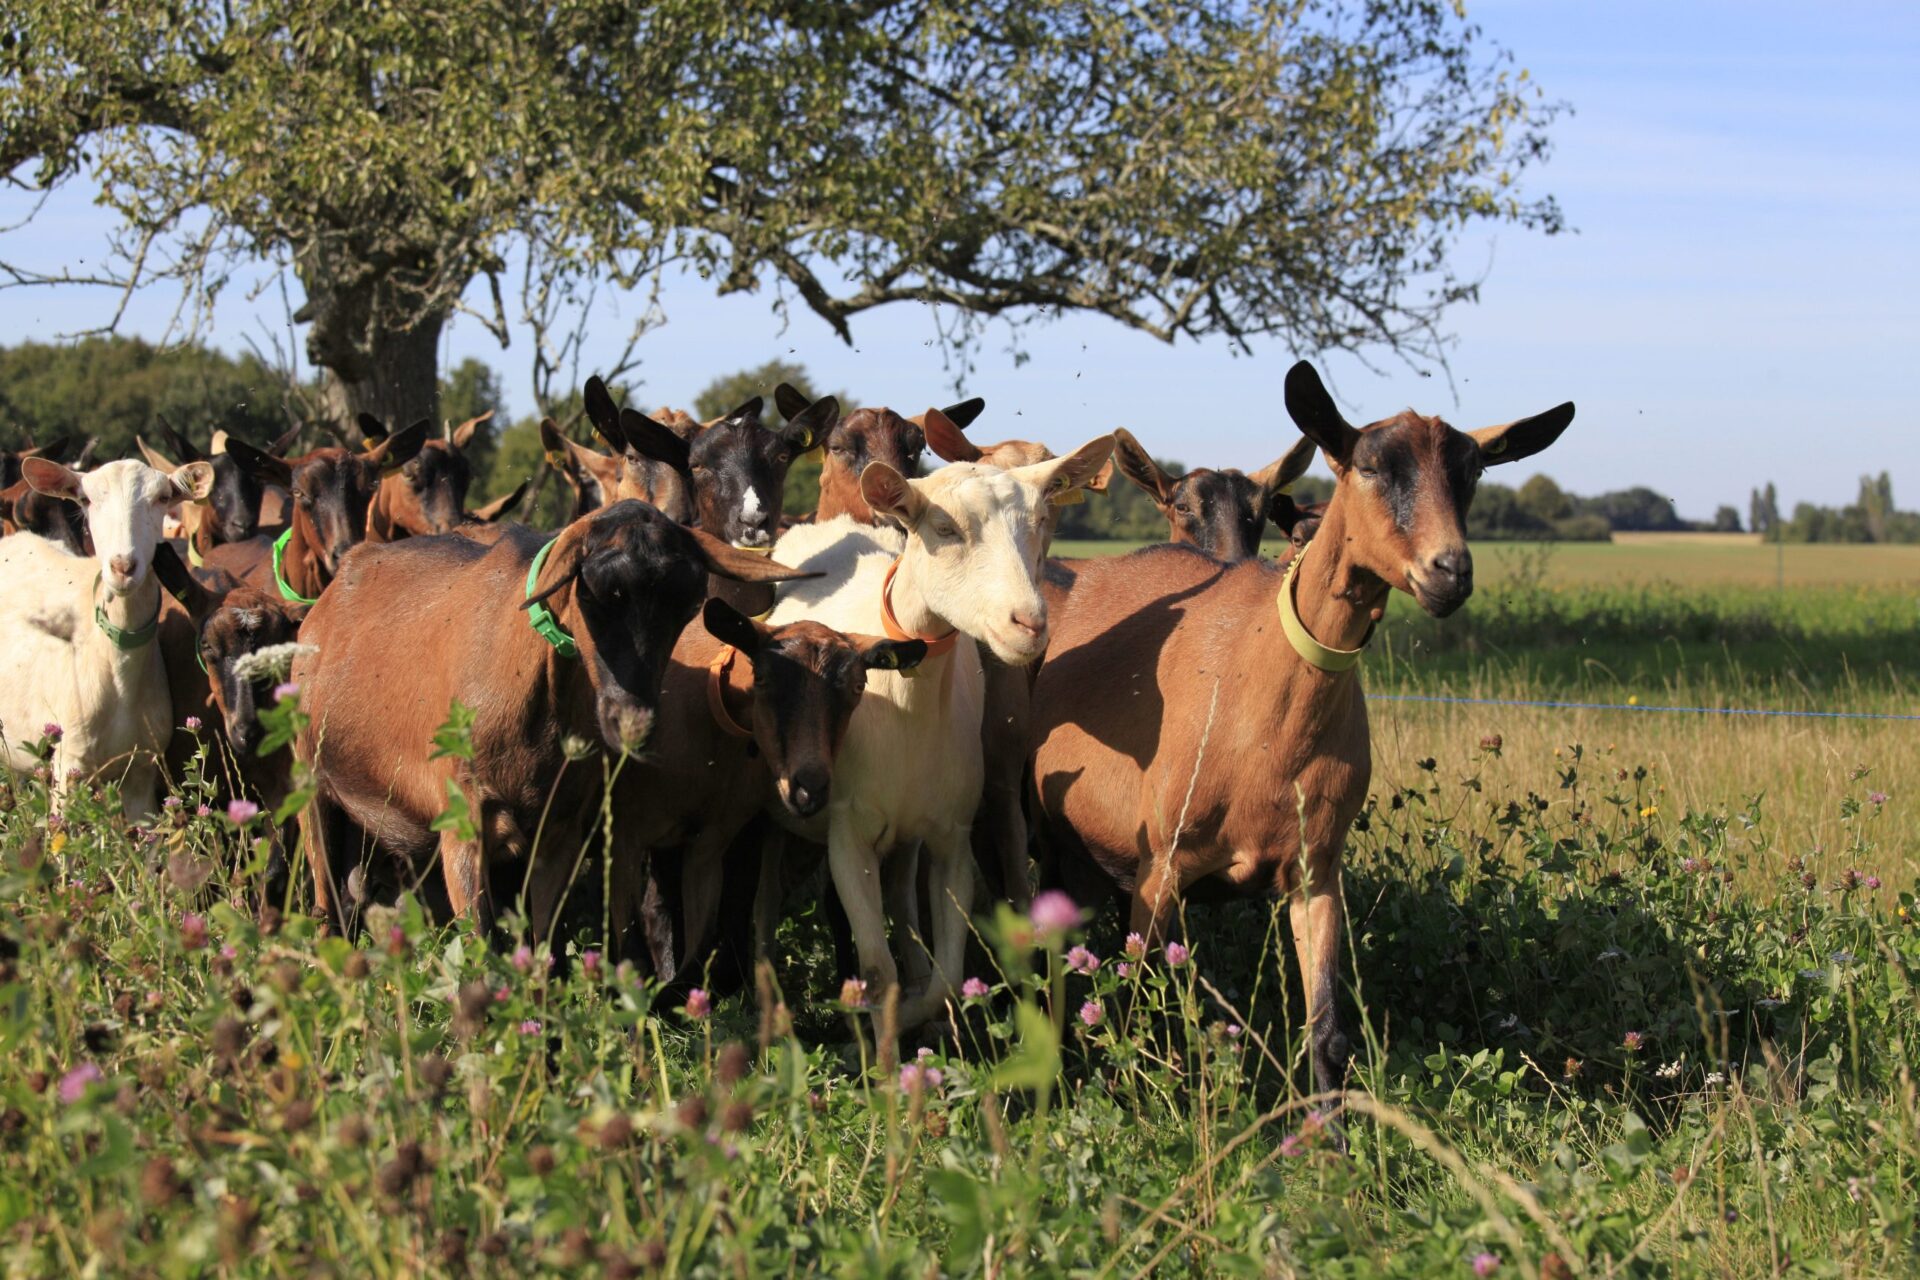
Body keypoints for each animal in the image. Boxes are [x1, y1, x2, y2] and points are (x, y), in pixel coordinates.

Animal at [1028, 361, 1575, 1104]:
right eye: (1369, 465)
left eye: (1473, 472)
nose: (1449, 571)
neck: (1263, 721)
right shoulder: (1160, 864)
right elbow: (1147, 1007)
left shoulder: (1316, 869)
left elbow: (1327, 1032)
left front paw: (1330, 1131)